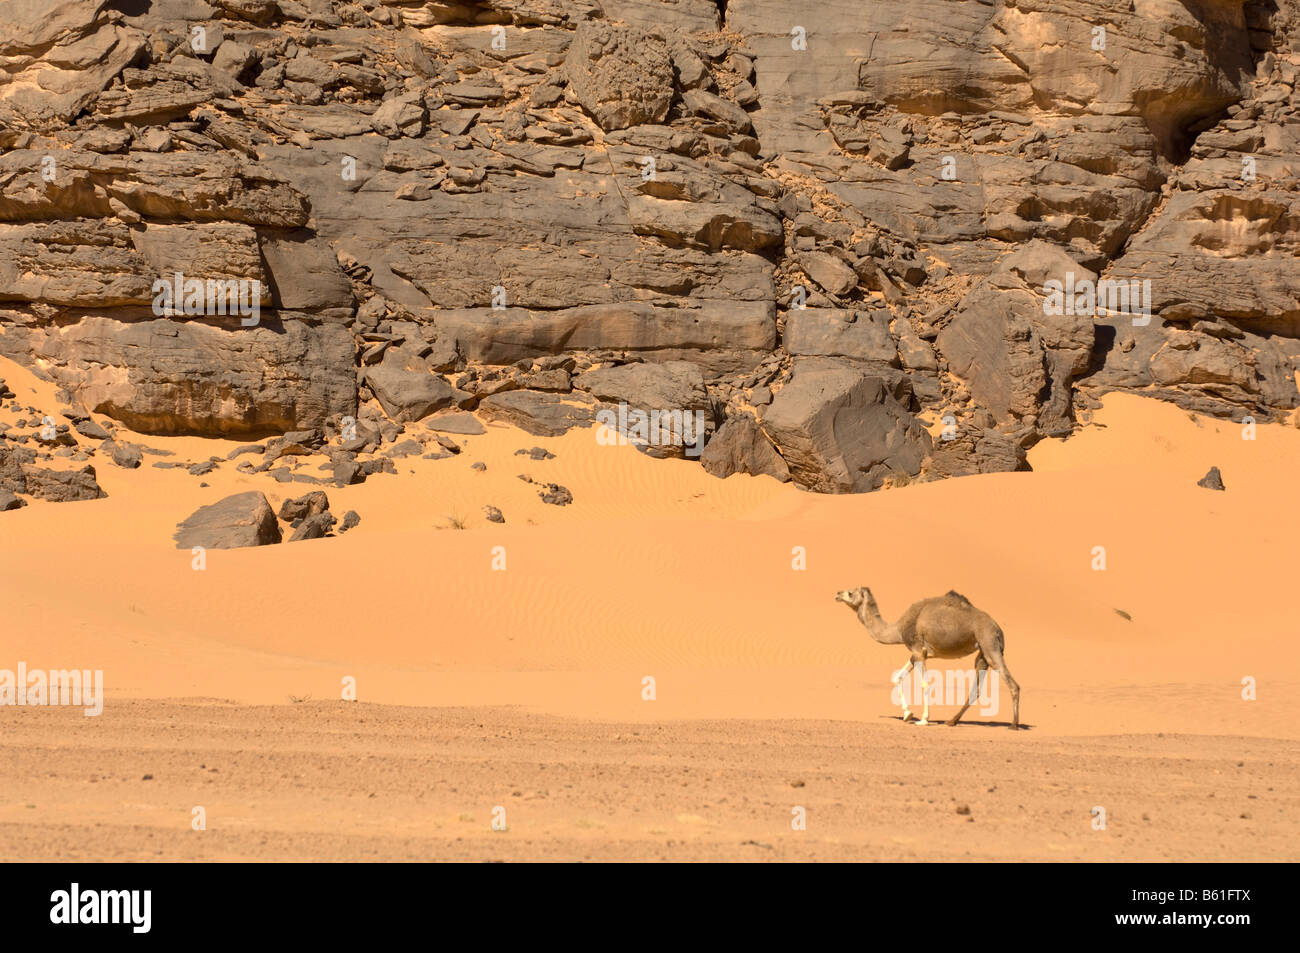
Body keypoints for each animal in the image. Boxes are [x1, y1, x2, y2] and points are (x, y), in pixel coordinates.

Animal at [834, 587, 1020, 729]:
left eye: (850, 593)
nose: (837, 594)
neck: (898, 629)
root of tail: (998, 629)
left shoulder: (917, 649)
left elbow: (924, 684)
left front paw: (923, 720)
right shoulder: (918, 653)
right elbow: (897, 677)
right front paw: (908, 714)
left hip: (989, 644)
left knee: (1012, 684)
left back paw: (1014, 725)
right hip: (983, 652)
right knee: (977, 687)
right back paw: (951, 721)